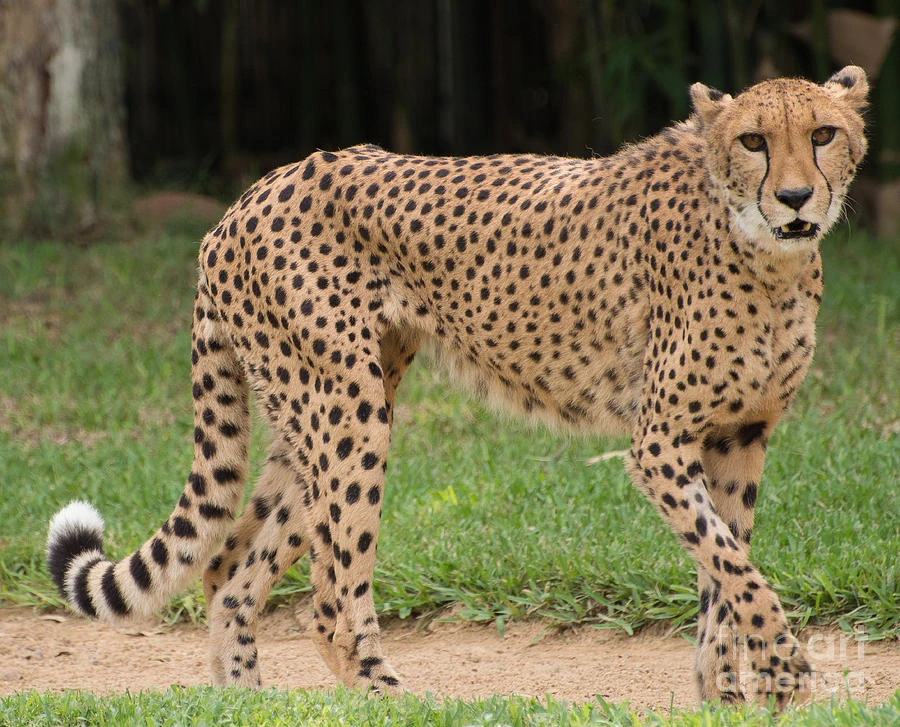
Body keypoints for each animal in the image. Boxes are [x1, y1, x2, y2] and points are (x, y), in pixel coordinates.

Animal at [47, 65, 868, 708]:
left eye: (823, 134)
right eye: (754, 141)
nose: (797, 198)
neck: (763, 254)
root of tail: (249, 197)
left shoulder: (739, 434)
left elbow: (722, 573)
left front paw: (727, 696)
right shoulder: (659, 441)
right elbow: (733, 564)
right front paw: (784, 671)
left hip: (316, 410)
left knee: (228, 568)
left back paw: (246, 703)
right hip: (350, 413)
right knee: (330, 595)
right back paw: (395, 701)